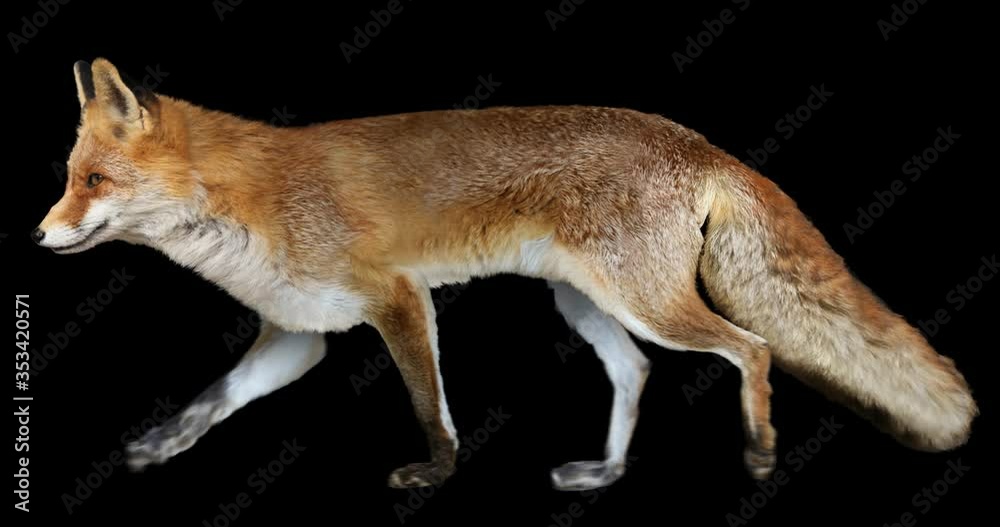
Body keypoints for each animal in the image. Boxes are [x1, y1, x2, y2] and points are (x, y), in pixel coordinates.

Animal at [35, 58, 976, 491]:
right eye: (69, 177)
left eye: (94, 182)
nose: (39, 235)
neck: (250, 205)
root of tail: (698, 141)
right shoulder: (299, 333)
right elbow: (213, 399)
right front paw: (160, 445)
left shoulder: (399, 298)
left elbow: (430, 404)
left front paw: (437, 472)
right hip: (586, 302)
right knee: (637, 370)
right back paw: (605, 472)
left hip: (646, 300)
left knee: (752, 349)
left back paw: (759, 448)